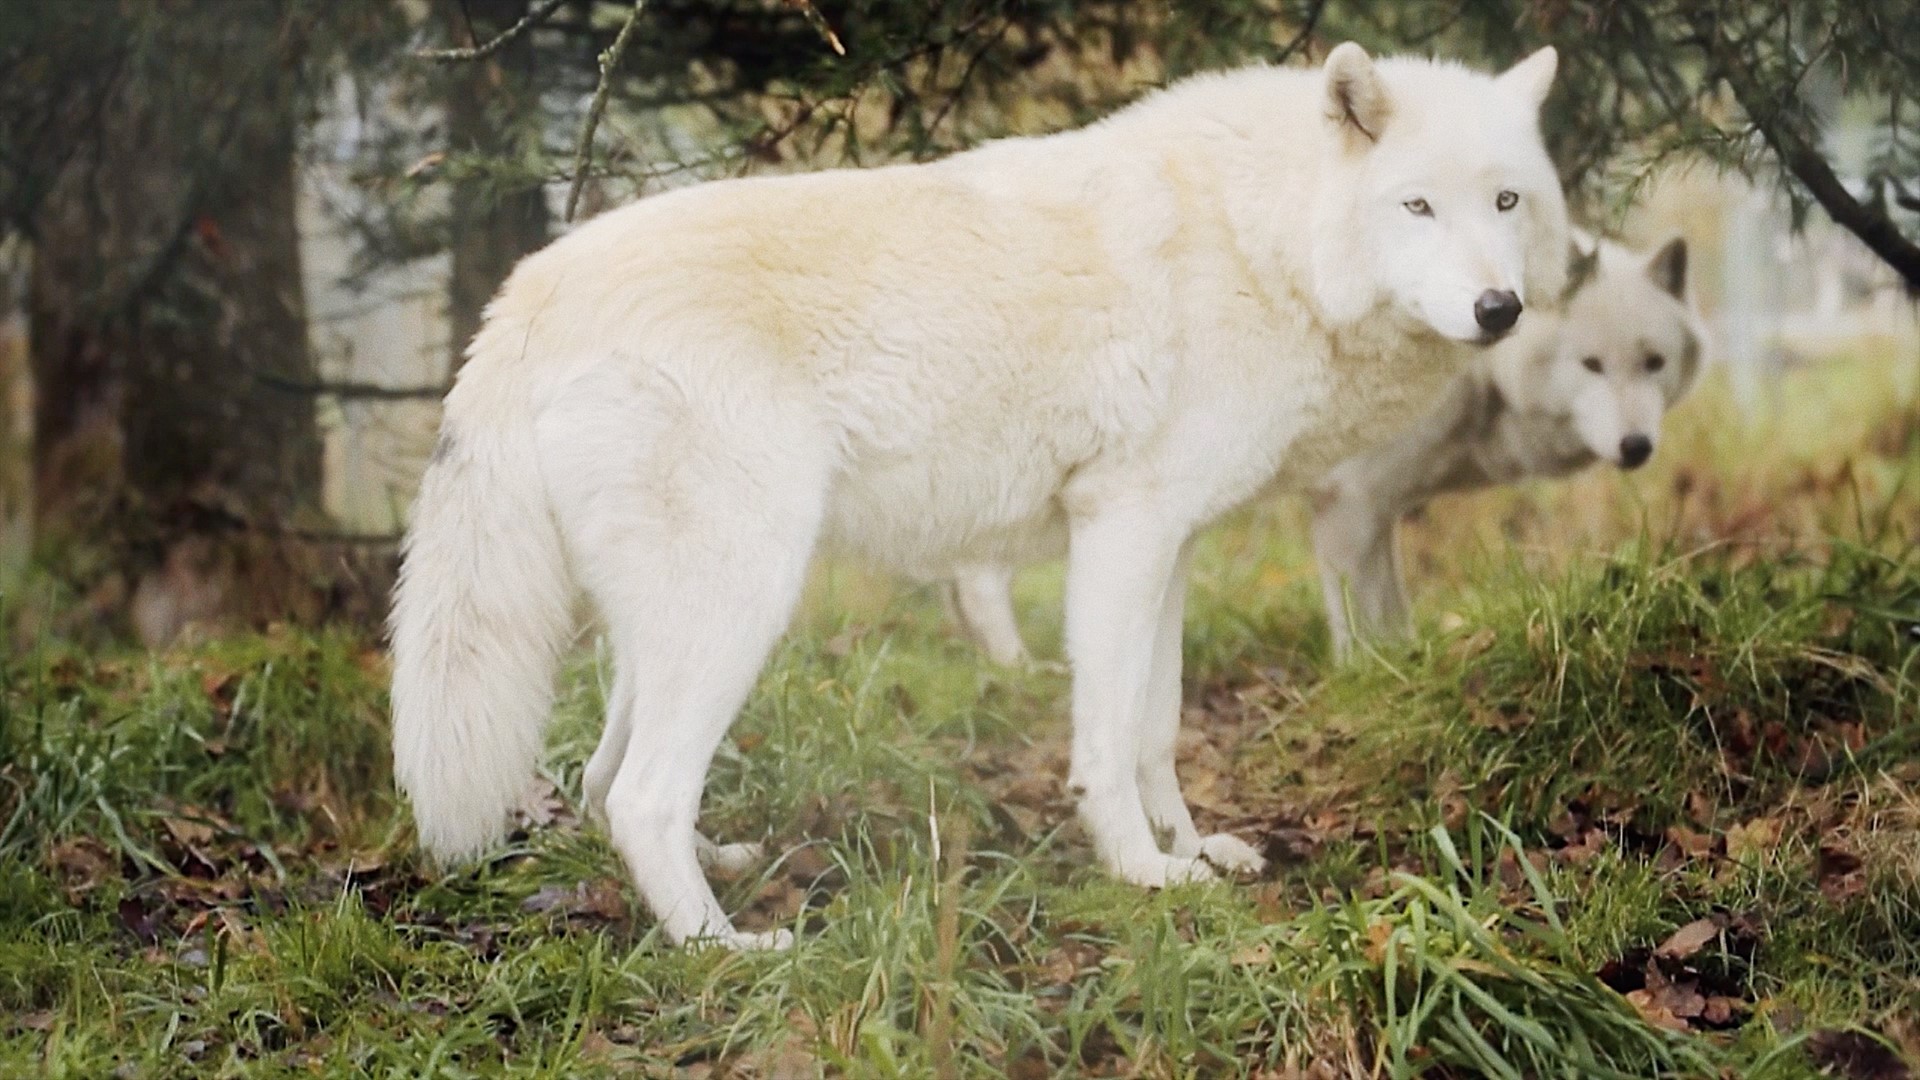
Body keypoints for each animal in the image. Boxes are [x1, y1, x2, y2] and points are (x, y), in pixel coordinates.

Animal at [390, 42, 1568, 949]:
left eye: (1507, 200)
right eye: (1416, 205)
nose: (1498, 308)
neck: (1260, 237)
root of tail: (531, 288)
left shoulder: (1168, 545)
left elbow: (1157, 728)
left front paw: (1197, 852)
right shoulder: (1123, 532)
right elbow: (1105, 742)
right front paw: (1142, 873)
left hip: (676, 623)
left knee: (602, 782)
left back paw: (718, 866)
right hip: (742, 603)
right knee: (639, 794)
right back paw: (726, 948)